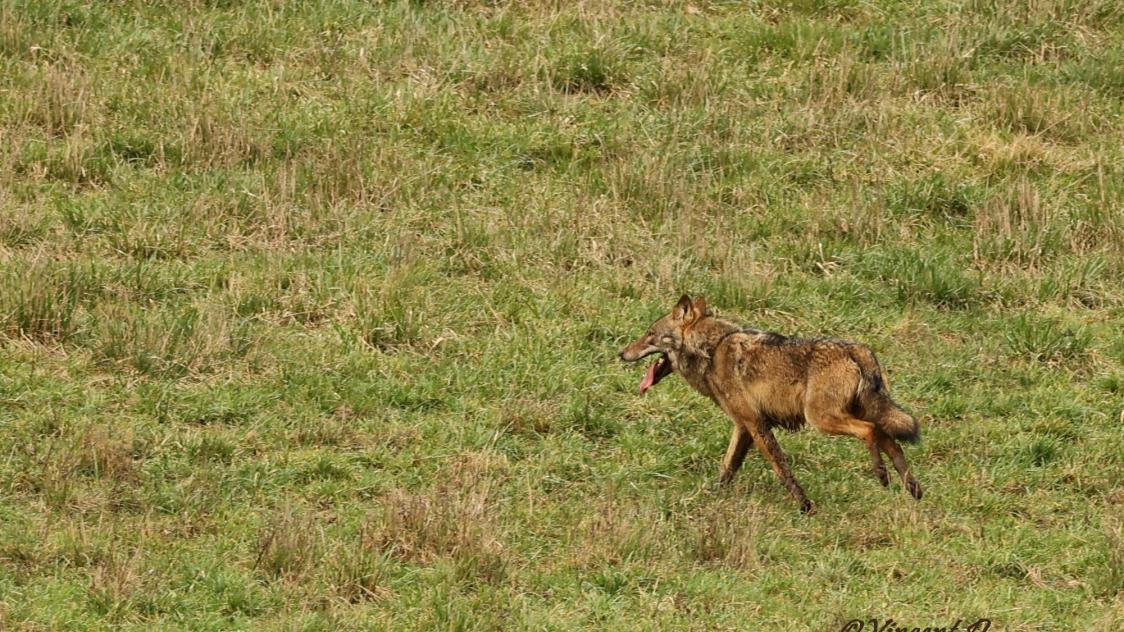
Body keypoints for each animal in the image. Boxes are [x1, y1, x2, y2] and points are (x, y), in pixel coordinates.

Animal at [619, 295, 922, 513]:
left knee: (870, 431)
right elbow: (727, 468)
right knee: (891, 441)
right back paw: (914, 490)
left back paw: (882, 476)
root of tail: (857, 349)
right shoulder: (743, 426)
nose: (621, 353)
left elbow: (781, 468)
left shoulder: (756, 424)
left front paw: (805, 506)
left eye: (649, 333)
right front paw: (712, 499)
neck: (713, 349)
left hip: (822, 420)